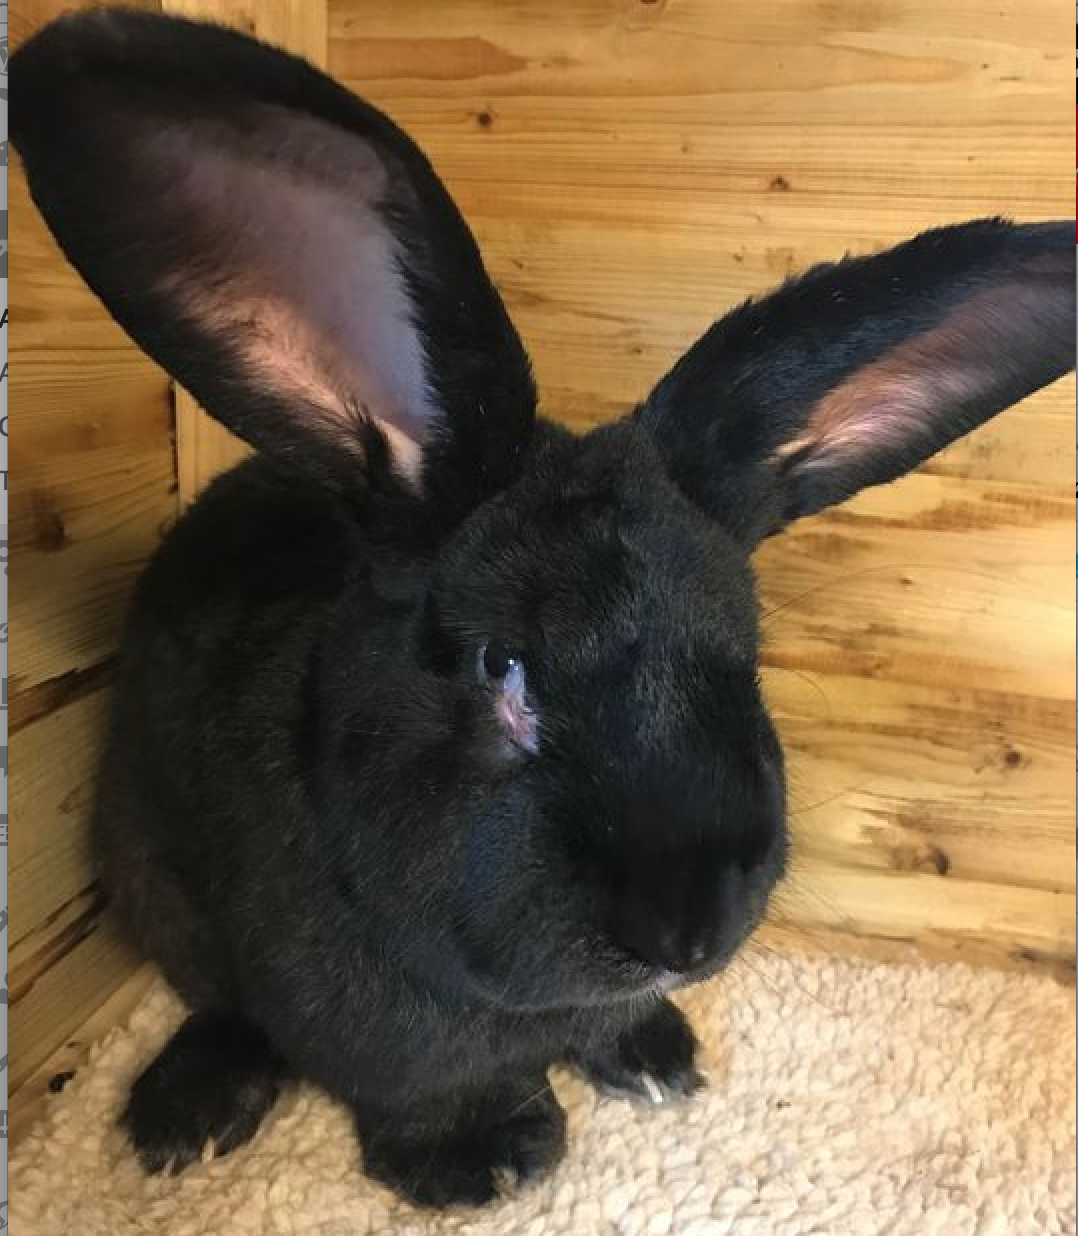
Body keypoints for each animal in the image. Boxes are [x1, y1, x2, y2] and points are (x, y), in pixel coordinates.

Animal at [11, 8, 1075, 1211]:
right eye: (500, 668)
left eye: (745, 656)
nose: (686, 931)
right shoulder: (364, 1033)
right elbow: (415, 1087)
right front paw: (484, 1164)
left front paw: (654, 1060)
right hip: (148, 868)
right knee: (214, 1001)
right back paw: (185, 1117)